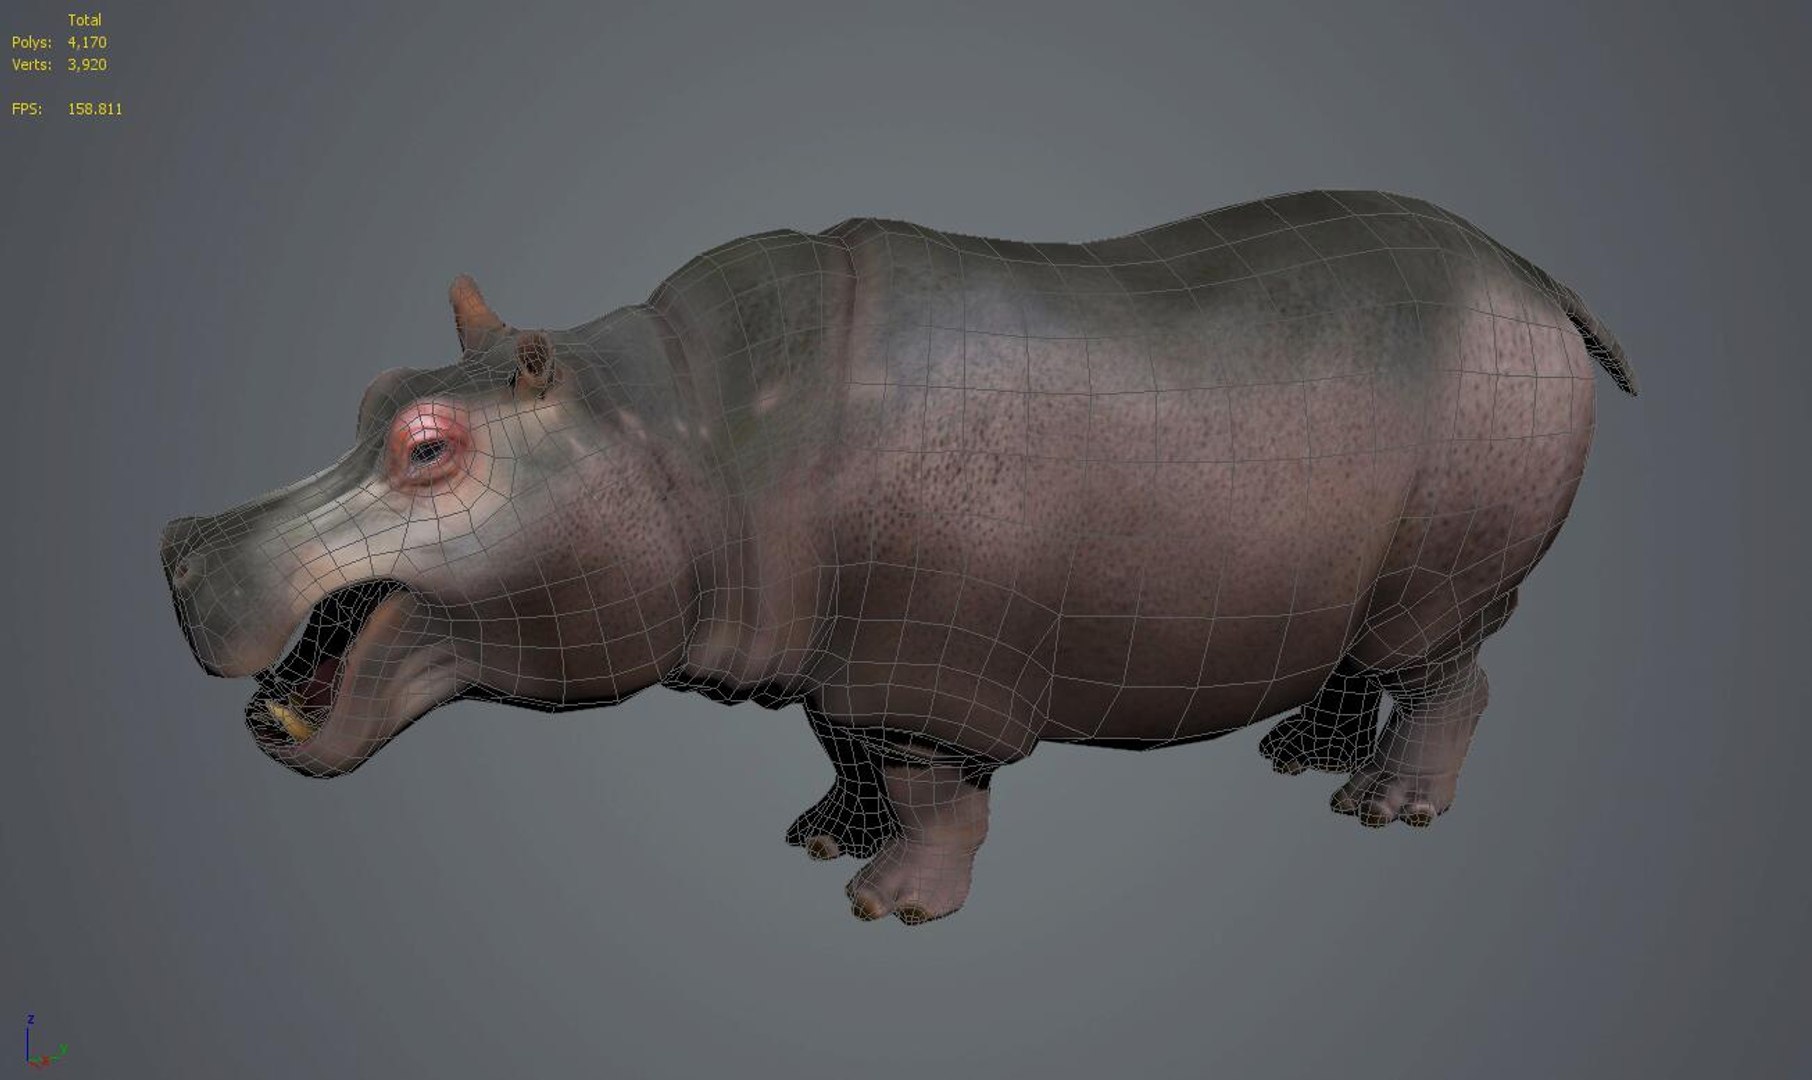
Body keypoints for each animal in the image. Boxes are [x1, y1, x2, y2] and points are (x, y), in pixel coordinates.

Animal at [160, 189, 1636, 924]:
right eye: (376, 391)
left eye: (429, 445)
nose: (180, 544)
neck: (672, 426)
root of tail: (1532, 271)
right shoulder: (836, 656)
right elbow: (846, 753)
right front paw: (820, 840)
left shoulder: (930, 673)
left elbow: (933, 790)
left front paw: (891, 909)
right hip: (1339, 569)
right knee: (1350, 662)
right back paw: (1295, 761)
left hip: (1444, 576)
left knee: (1451, 677)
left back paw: (1384, 812)